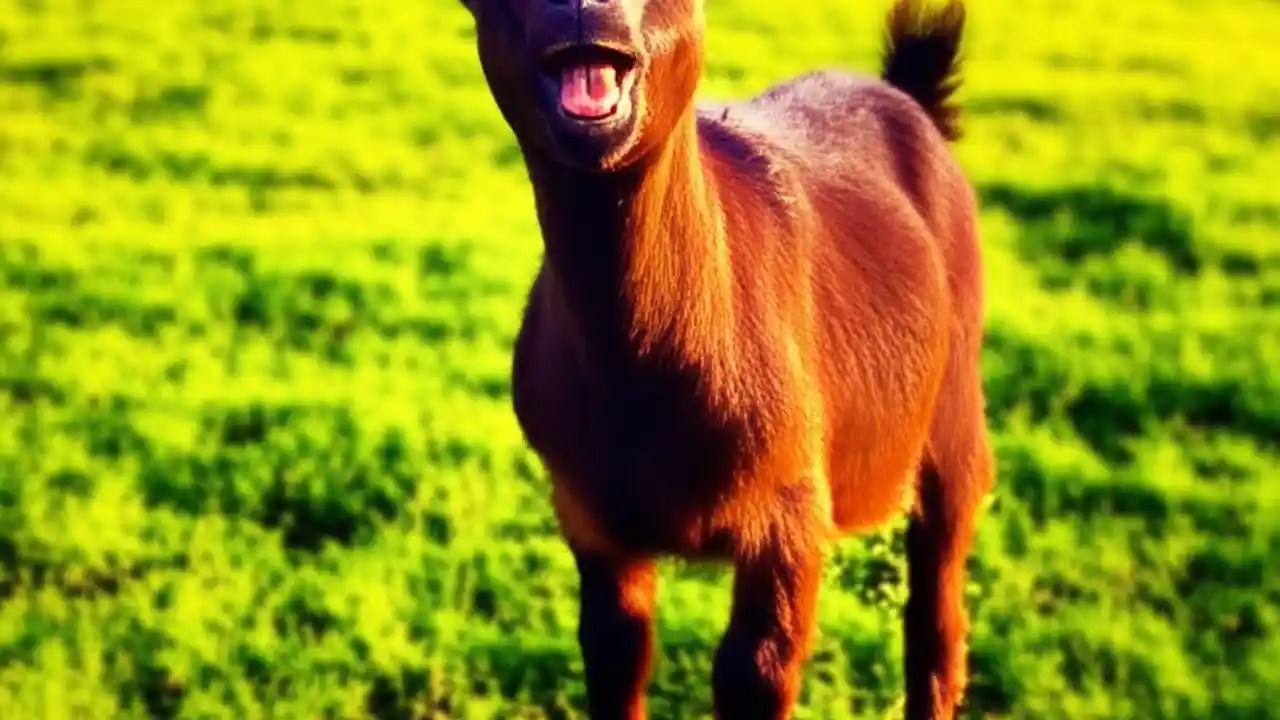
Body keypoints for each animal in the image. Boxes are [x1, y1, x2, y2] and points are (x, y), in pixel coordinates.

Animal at [456, 0, 994, 717]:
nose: (584, 9)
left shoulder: (791, 510)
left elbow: (753, 671)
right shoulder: (589, 512)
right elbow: (614, 656)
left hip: (955, 408)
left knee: (937, 612)